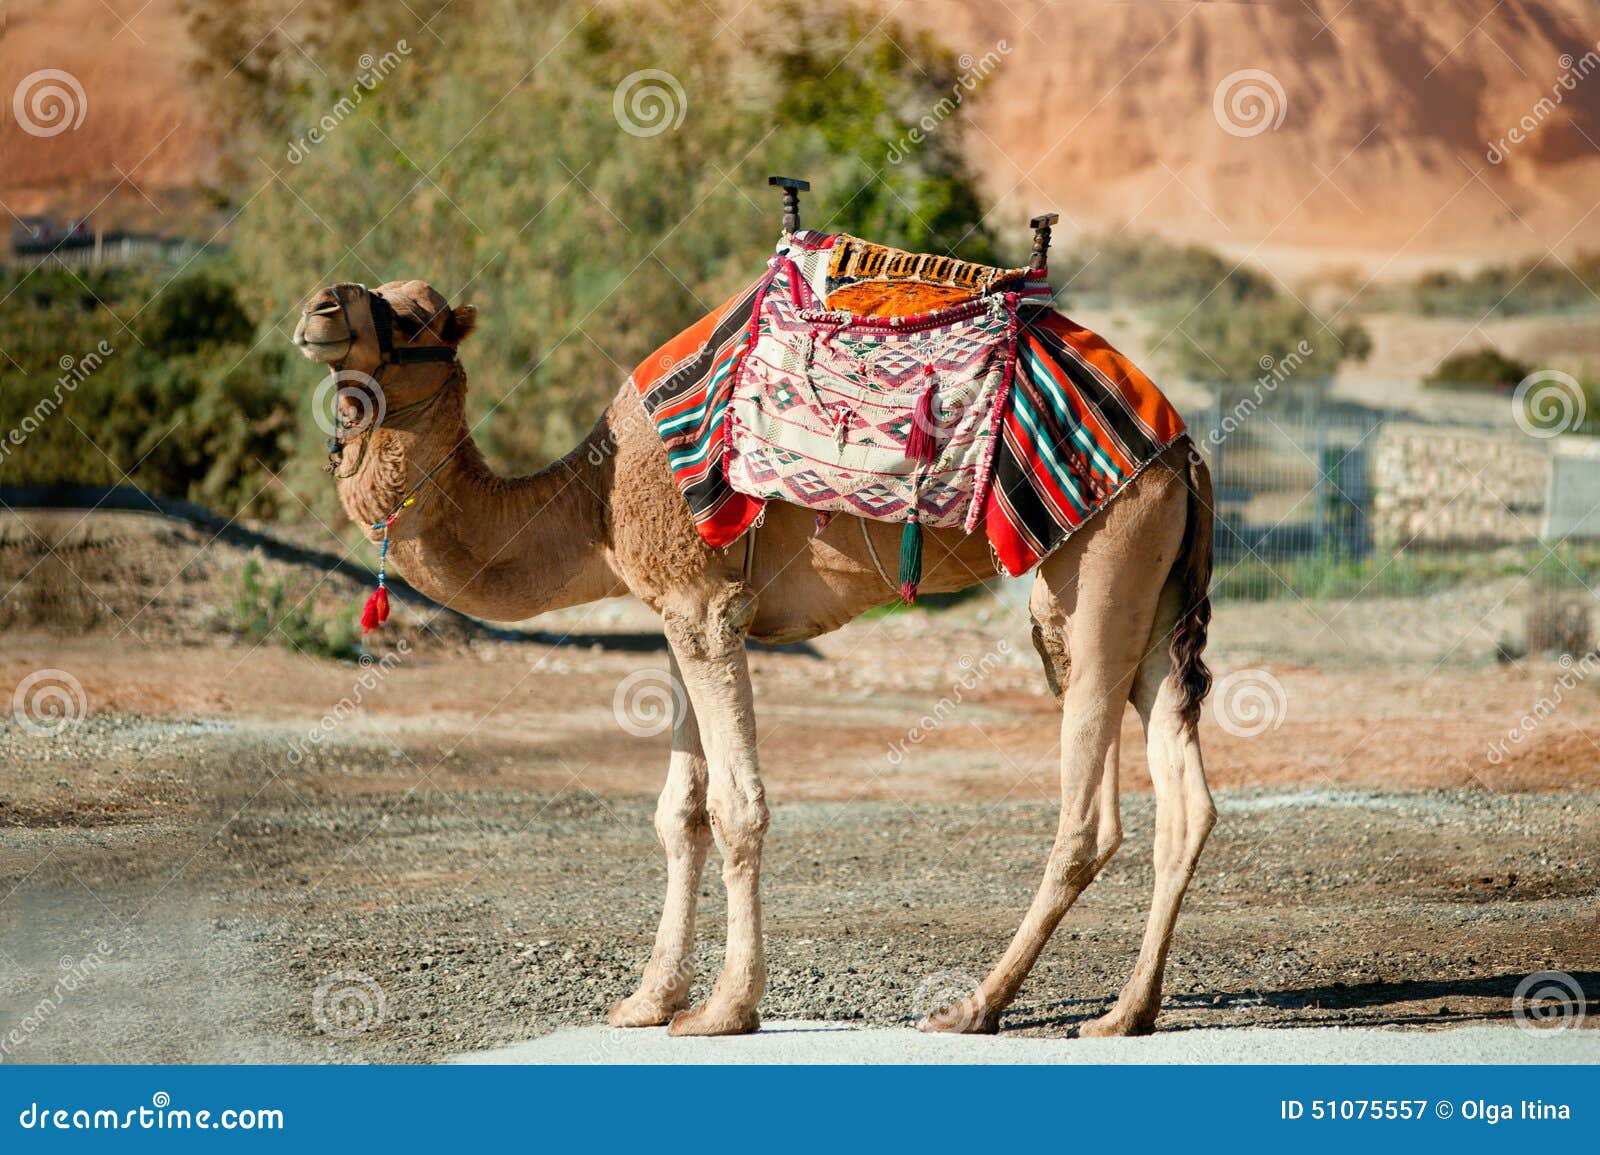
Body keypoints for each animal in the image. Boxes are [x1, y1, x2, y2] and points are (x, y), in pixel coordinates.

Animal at [291, 279, 1216, 1038]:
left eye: (413, 316)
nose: (320, 308)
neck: (595, 504)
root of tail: (1185, 450)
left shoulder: (706, 607)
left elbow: (739, 808)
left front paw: (725, 1007)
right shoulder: (679, 610)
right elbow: (680, 812)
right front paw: (648, 999)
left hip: (1097, 567)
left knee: (1088, 815)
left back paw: (974, 1005)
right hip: (1152, 598)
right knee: (1186, 799)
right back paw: (1127, 1011)